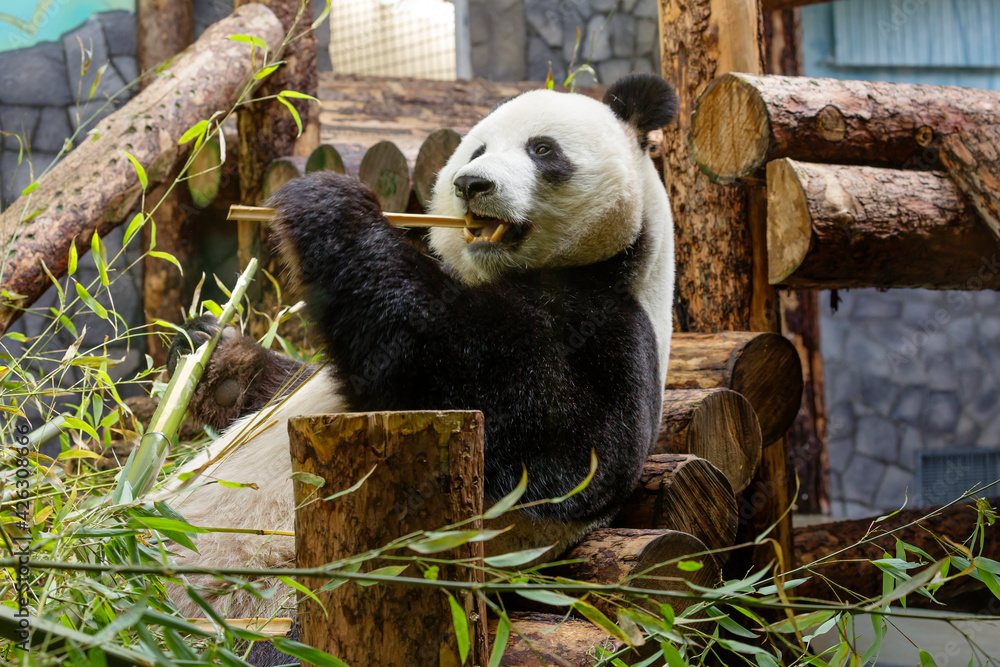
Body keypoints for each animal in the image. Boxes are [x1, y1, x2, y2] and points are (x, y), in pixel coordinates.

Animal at [160, 73, 678, 622]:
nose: (471, 184)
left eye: (542, 149)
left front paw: (327, 203)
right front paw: (210, 356)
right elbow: (279, 384)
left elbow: (541, 431)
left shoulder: (608, 326)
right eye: (477, 149)